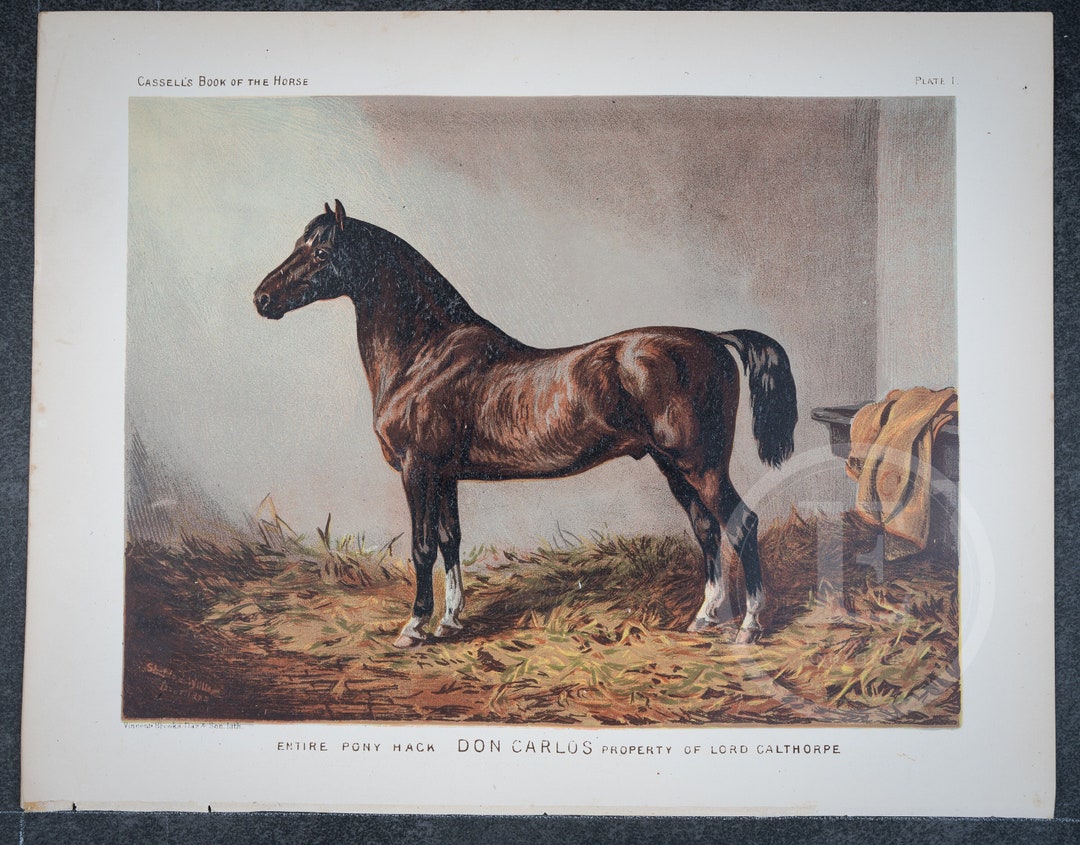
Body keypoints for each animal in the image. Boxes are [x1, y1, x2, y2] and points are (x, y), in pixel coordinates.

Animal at [254, 200, 798, 648]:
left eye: (322, 251)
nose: (261, 298)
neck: (425, 355)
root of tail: (714, 338)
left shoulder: (418, 469)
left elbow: (423, 547)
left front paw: (414, 627)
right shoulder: (445, 475)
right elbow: (451, 540)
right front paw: (451, 620)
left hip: (701, 465)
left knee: (741, 524)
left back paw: (749, 627)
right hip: (673, 466)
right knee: (706, 529)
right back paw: (704, 618)